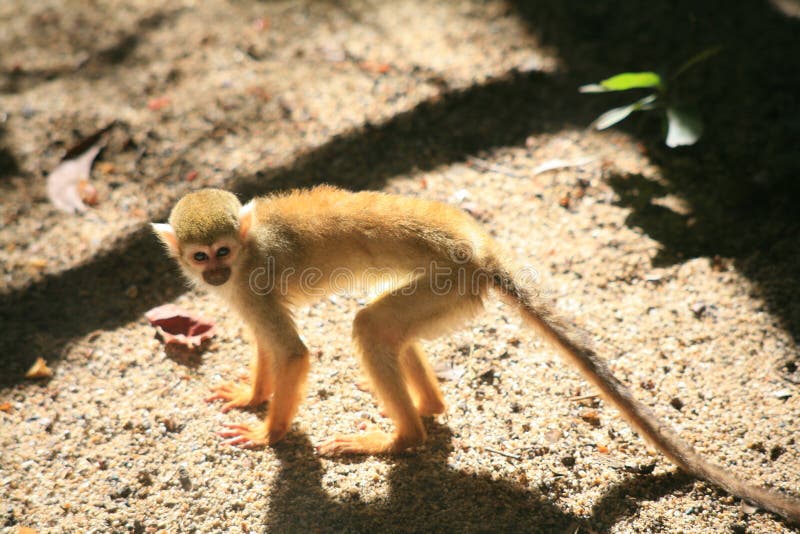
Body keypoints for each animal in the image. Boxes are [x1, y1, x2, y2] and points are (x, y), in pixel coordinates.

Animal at [152, 186, 800, 523]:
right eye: (201, 256)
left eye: (223, 250)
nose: (214, 273)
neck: (246, 255)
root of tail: (481, 248)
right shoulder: (241, 294)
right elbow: (268, 349)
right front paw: (251, 397)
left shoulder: (252, 281)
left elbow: (291, 353)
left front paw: (268, 433)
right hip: (455, 294)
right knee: (387, 329)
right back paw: (429, 410)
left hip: (451, 281)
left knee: (369, 326)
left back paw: (401, 438)